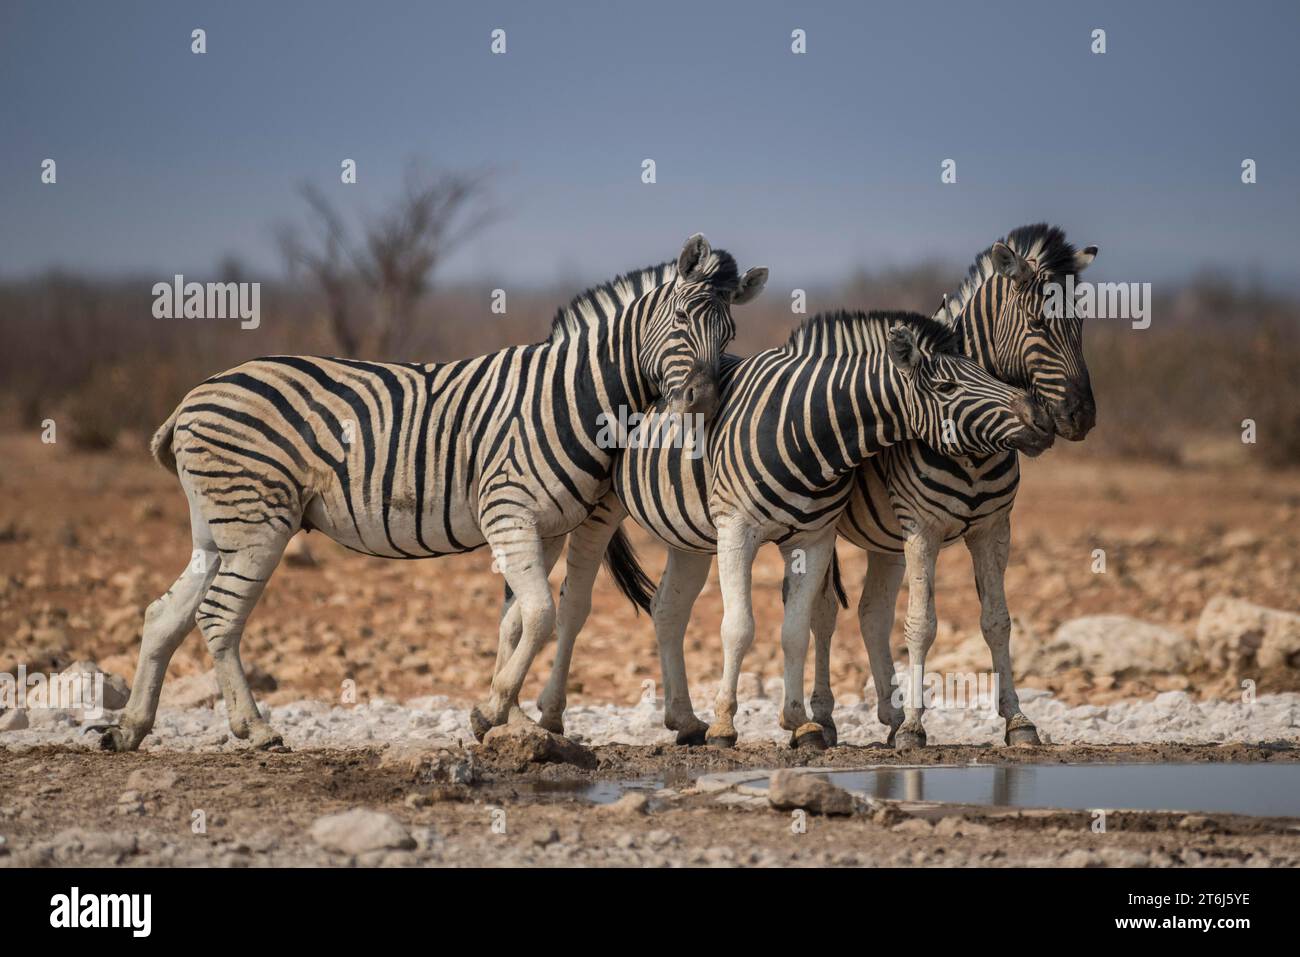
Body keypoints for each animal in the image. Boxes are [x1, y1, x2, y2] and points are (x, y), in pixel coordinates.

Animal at [94, 234, 768, 753]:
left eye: (731, 329)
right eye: (680, 321)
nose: (706, 404)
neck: (574, 393)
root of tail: (193, 396)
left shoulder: (544, 528)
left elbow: (518, 619)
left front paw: (507, 716)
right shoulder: (509, 514)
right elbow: (542, 615)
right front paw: (494, 712)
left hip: (217, 529)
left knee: (165, 615)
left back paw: (130, 730)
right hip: (257, 522)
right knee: (217, 616)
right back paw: (255, 730)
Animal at [496, 309, 1055, 747]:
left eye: (984, 371)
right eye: (946, 386)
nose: (1043, 421)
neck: (814, 428)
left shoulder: (816, 537)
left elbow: (795, 630)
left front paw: (800, 725)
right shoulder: (739, 530)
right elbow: (740, 626)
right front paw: (729, 726)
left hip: (690, 533)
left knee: (668, 610)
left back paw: (684, 720)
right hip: (596, 511)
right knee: (572, 605)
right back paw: (550, 715)